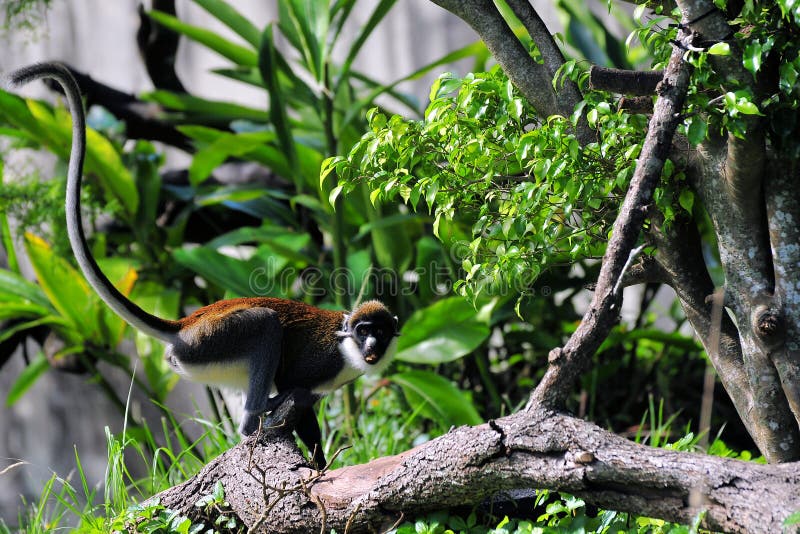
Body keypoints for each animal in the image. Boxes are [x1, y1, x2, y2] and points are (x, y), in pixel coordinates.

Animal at [5, 62, 399, 467]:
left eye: (380, 332)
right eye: (364, 331)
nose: (372, 344)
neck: (347, 350)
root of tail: (185, 324)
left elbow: (307, 410)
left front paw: (320, 468)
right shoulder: (317, 366)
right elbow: (297, 390)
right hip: (211, 342)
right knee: (265, 326)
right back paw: (253, 418)